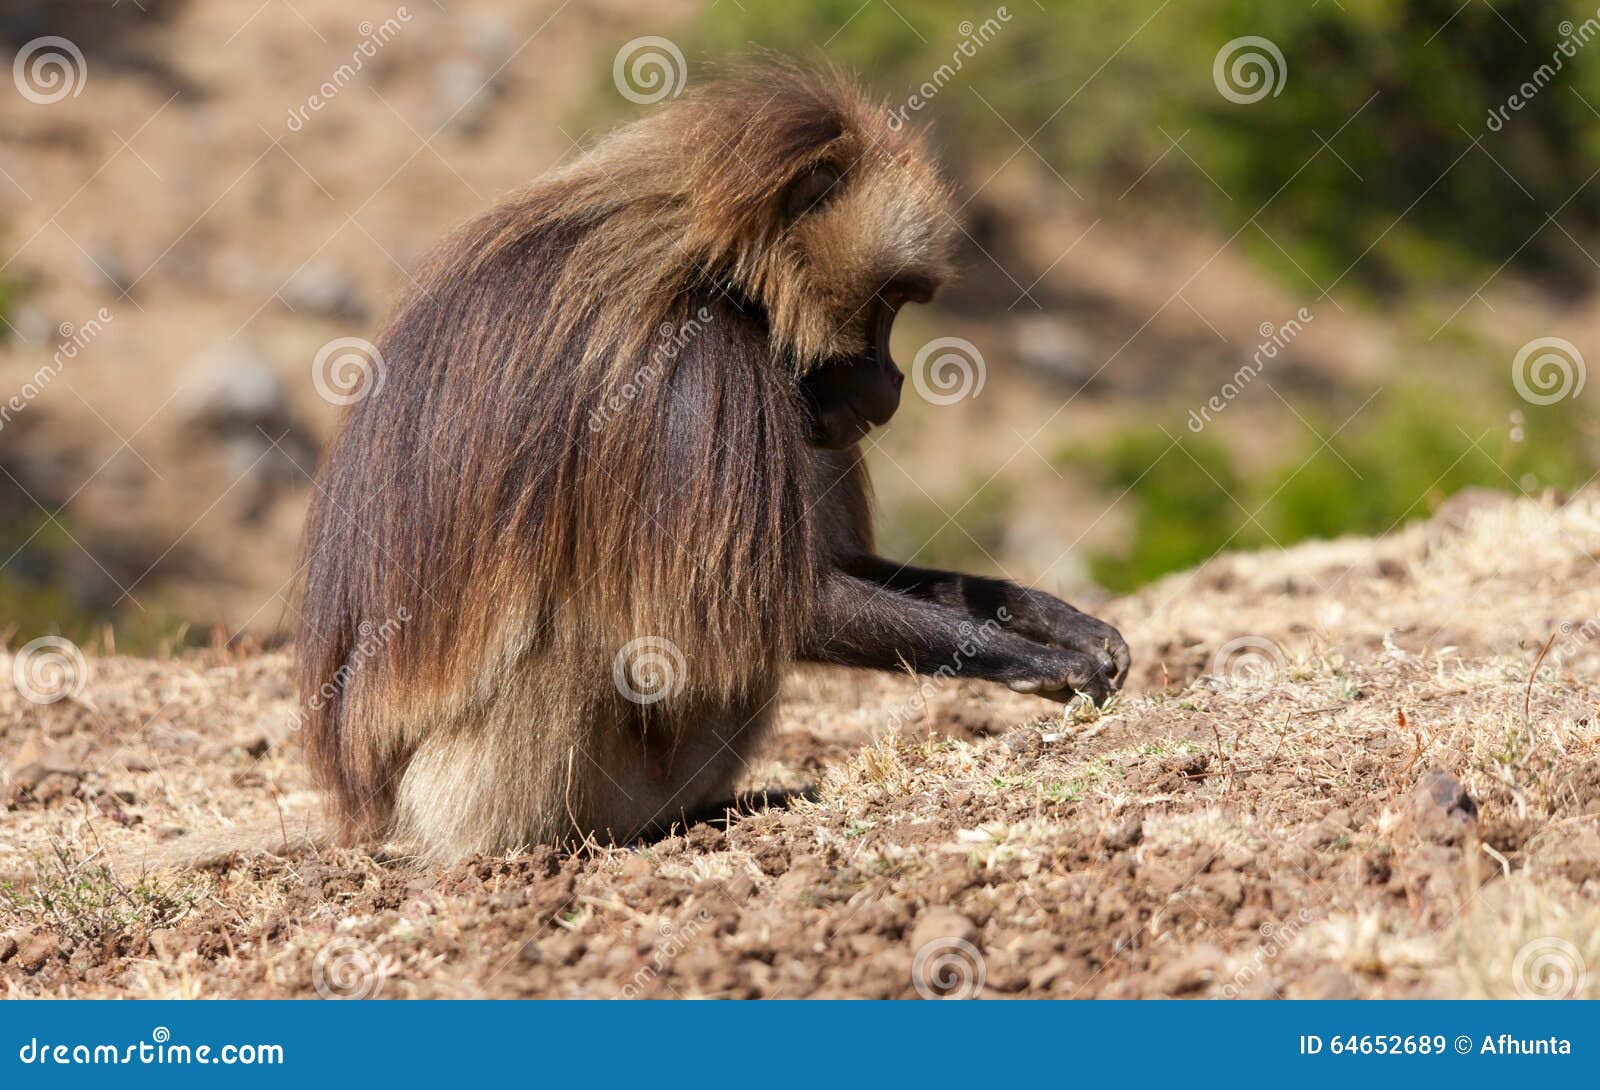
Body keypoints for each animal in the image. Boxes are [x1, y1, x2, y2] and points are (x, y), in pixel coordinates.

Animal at [296, 61, 1129, 861]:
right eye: (887, 306)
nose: (892, 383)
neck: (714, 269)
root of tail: (377, 811)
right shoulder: (701, 369)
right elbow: (752, 598)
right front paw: (1035, 659)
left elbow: (816, 571)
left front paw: (1057, 622)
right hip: (469, 785)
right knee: (595, 627)